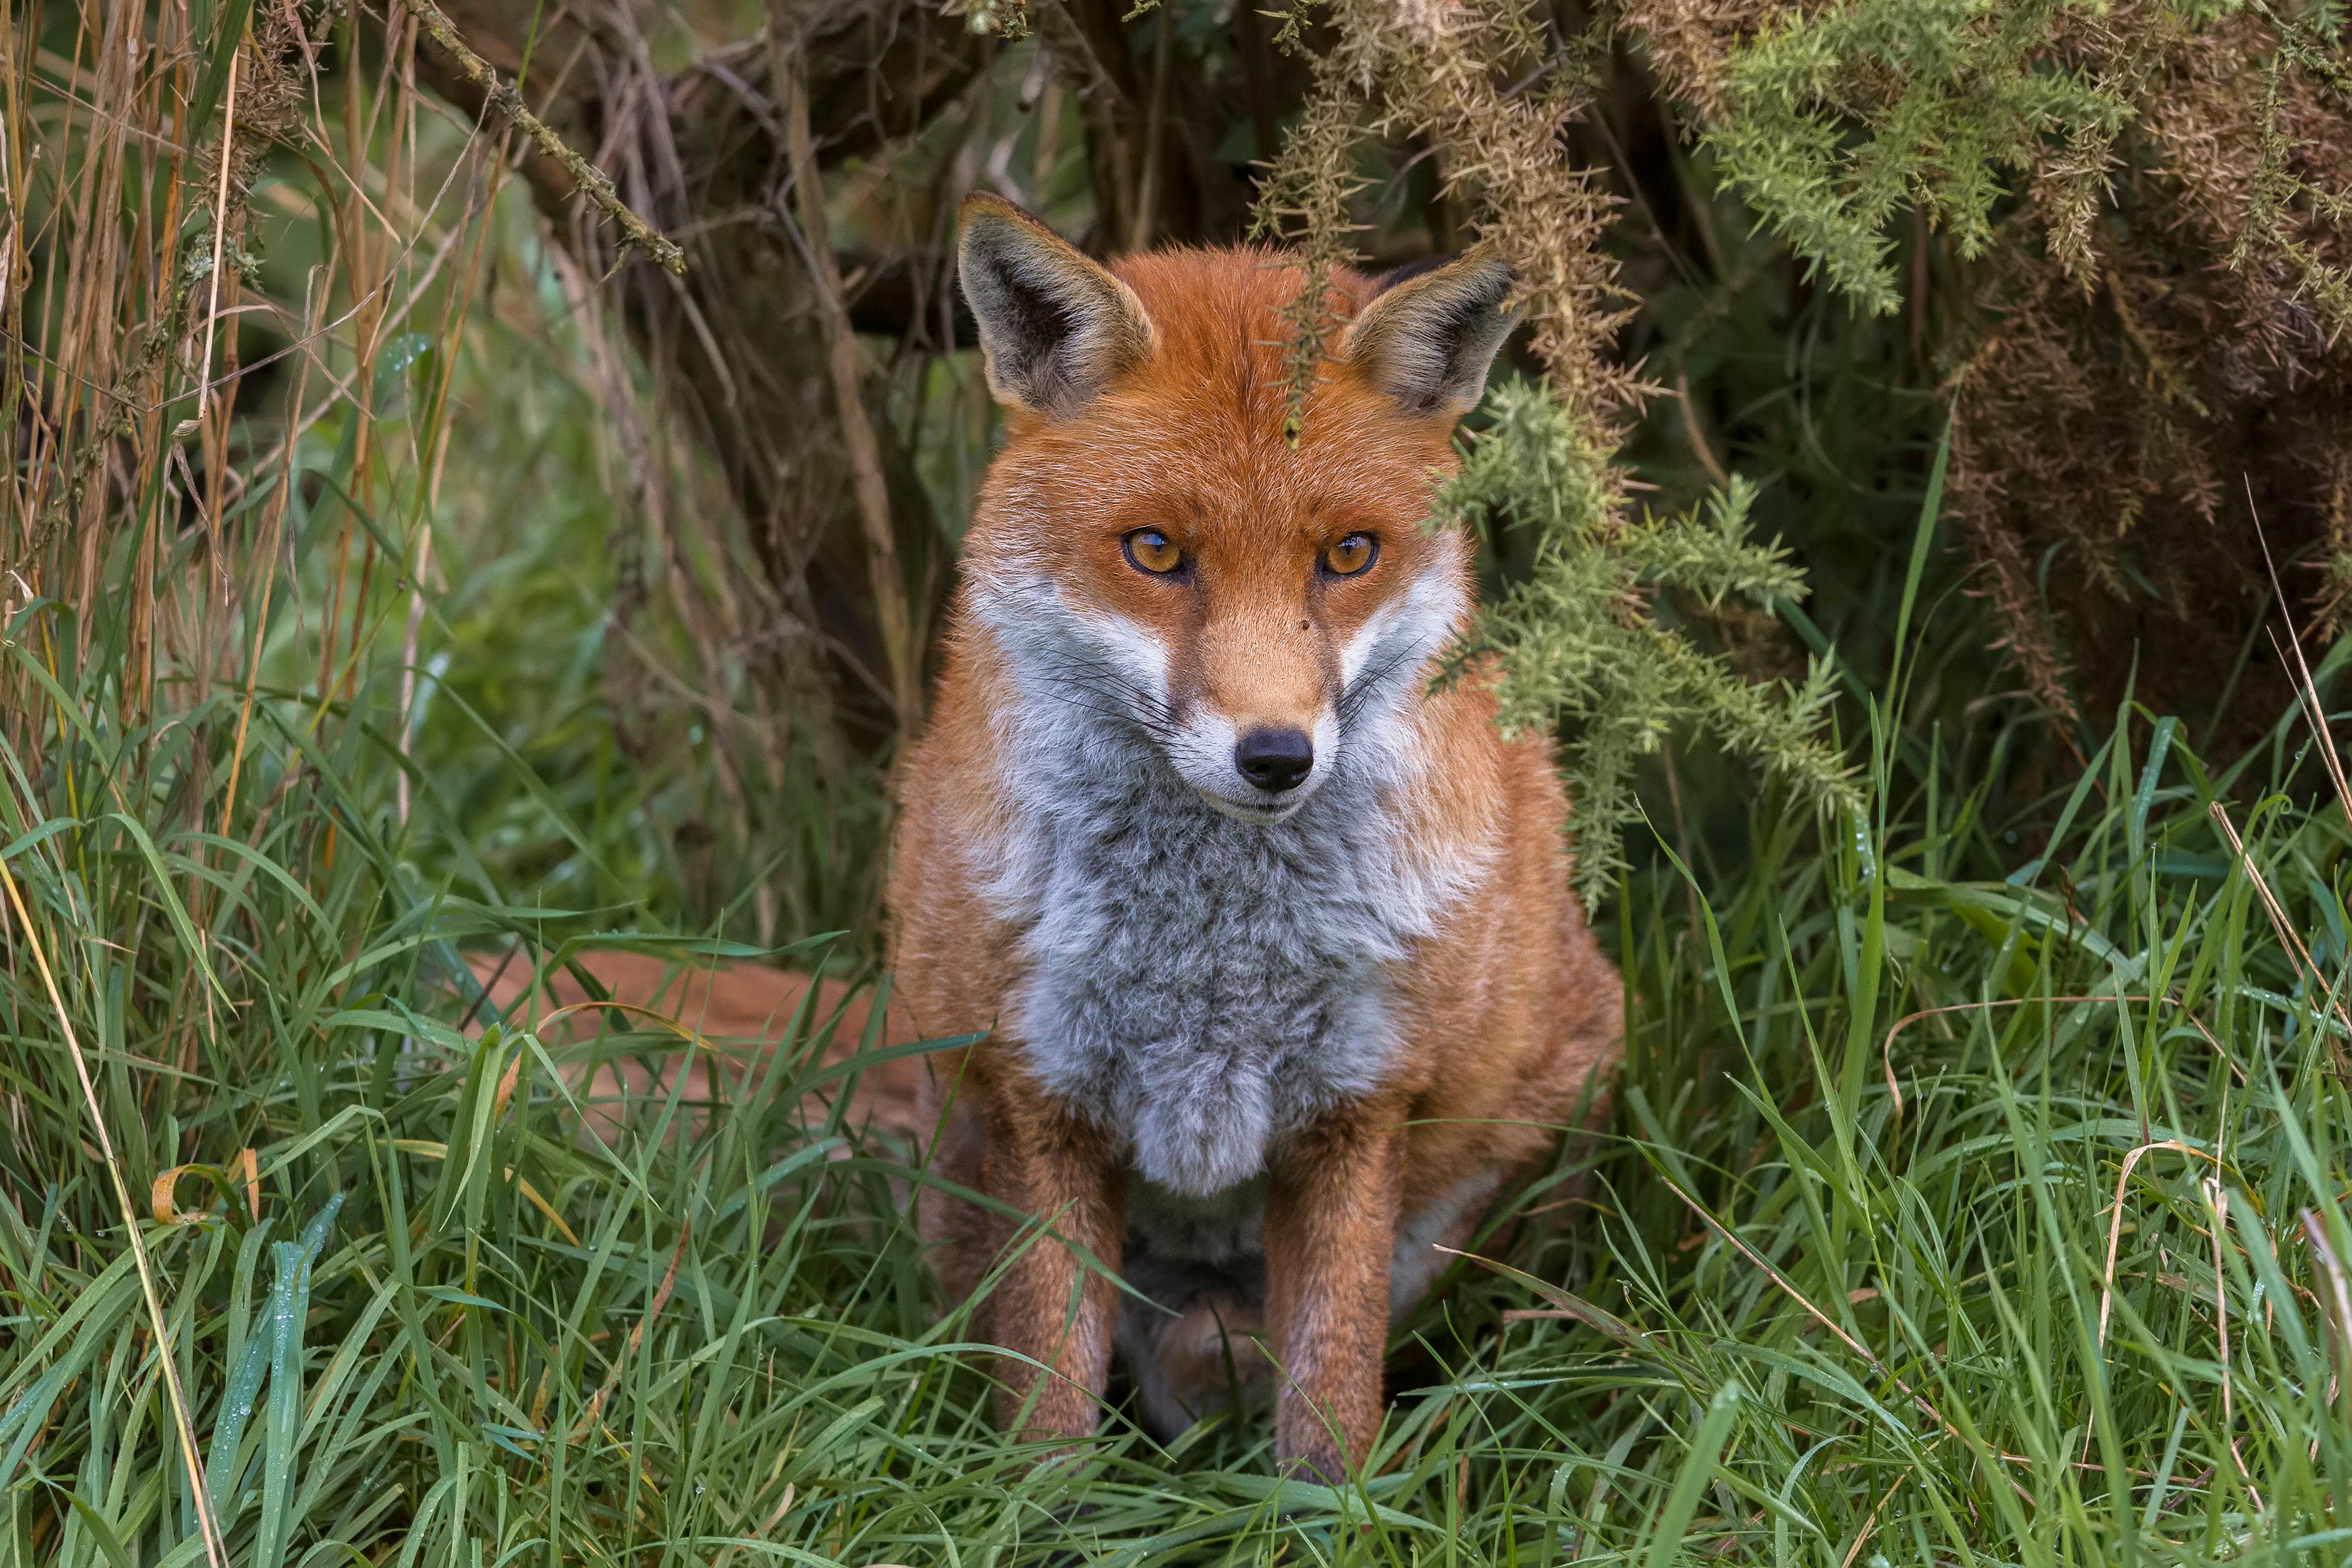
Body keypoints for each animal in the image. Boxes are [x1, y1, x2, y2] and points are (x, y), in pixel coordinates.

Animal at [887, 193, 1622, 1483]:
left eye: (1348, 555)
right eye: (1155, 551)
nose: (1275, 756)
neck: (1214, 965)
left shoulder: (1358, 1106)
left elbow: (1331, 1402)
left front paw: (1339, 1511)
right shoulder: (1041, 1096)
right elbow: (1048, 1410)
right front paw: (1040, 1513)